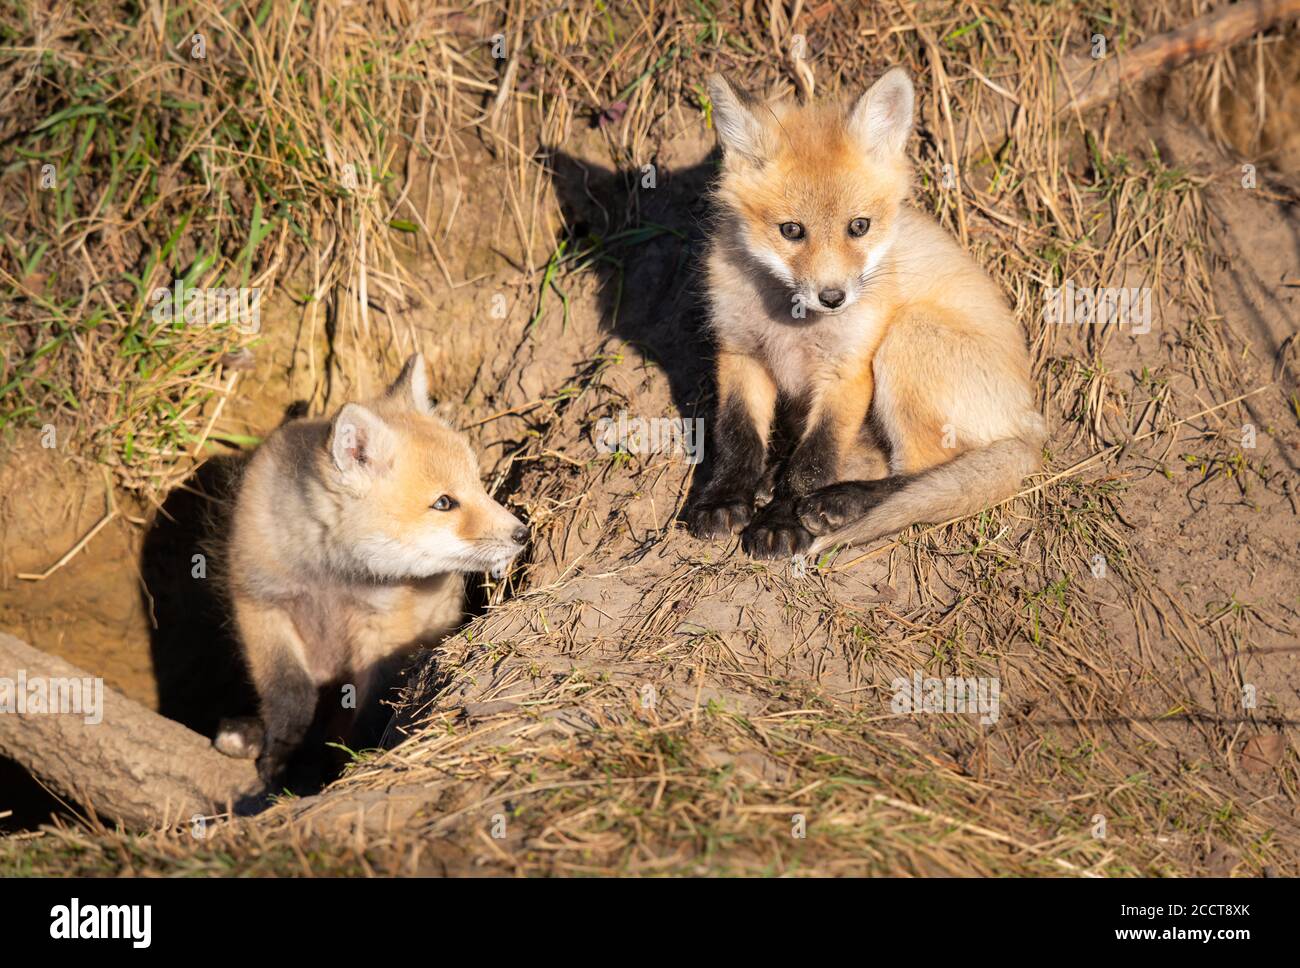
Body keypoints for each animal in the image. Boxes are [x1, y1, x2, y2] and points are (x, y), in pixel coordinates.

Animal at [220, 354, 528, 786]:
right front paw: (277, 758)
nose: (522, 533)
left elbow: (369, 710)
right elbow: (289, 694)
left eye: (479, 485)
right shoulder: (261, 603)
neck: (331, 576)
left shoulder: (384, 628)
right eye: (444, 503)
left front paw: (350, 763)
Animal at [689, 67, 1046, 559]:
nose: (833, 297)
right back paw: (775, 479)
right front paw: (724, 499)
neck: (791, 325)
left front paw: (782, 522)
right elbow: (736, 438)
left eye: (858, 227)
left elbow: (813, 464)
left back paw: (841, 501)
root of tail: (1030, 419)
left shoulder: (848, 373)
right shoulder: (741, 353)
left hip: (905, 340)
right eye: (791, 230)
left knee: (918, 471)